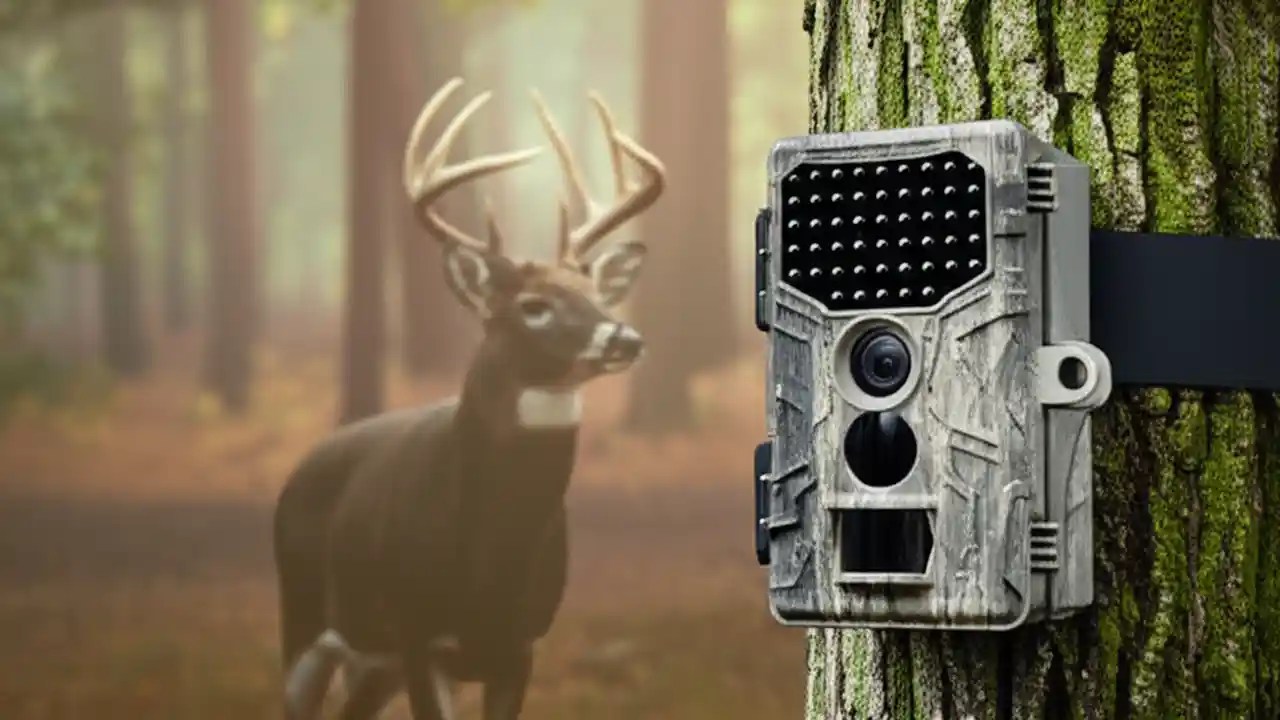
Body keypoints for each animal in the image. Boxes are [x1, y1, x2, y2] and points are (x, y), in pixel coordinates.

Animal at [271, 77, 665, 720]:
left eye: (596, 294)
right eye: (533, 306)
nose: (625, 337)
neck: (490, 562)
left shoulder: (519, 644)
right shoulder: (418, 635)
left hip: (372, 659)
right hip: (304, 620)